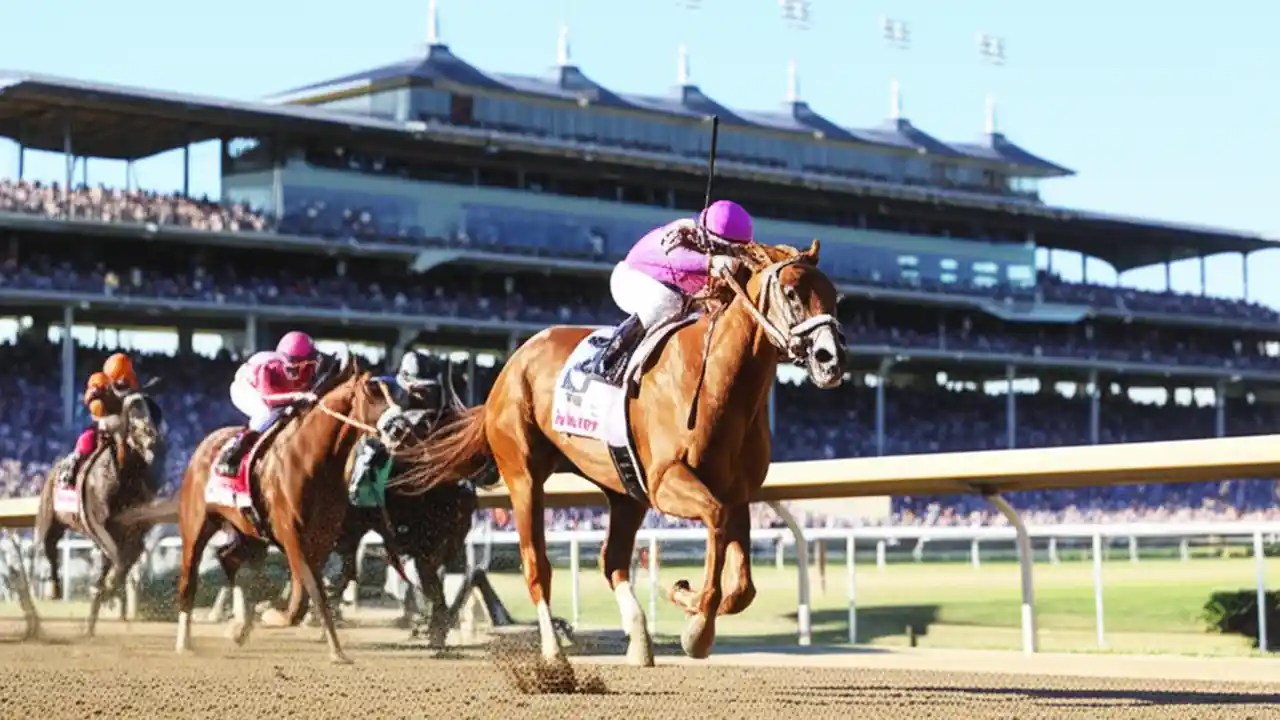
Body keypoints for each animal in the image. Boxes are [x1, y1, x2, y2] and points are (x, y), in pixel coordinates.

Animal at [35, 387, 165, 636]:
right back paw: (55, 589)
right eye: (132, 413)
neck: (124, 475)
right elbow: (118, 557)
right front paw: (109, 589)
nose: (153, 438)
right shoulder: (99, 524)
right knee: (50, 549)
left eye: (152, 411)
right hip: (49, 522)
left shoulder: (136, 526)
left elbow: (130, 554)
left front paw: (110, 590)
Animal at [173, 352, 388, 663]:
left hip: (248, 531)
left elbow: (313, 594)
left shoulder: (321, 540)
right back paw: (185, 642)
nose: (401, 426)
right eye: (372, 395)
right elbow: (306, 595)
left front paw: (336, 650)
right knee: (189, 579)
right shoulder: (292, 537)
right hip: (197, 525)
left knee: (230, 558)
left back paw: (239, 625)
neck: (312, 460)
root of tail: (203, 446)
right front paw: (273, 614)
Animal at [396, 239, 846, 667]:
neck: (719, 382)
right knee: (536, 565)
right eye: (791, 292)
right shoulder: (667, 482)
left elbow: (743, 587)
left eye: (834, 295)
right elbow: (715, 523)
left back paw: (640, 642)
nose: (831, 359)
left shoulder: (737, 493)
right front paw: (695, 623)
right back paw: (554, 652)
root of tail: (509, 367)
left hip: (623, 488)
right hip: (524, 476)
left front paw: (689, 602)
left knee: (611, 560)